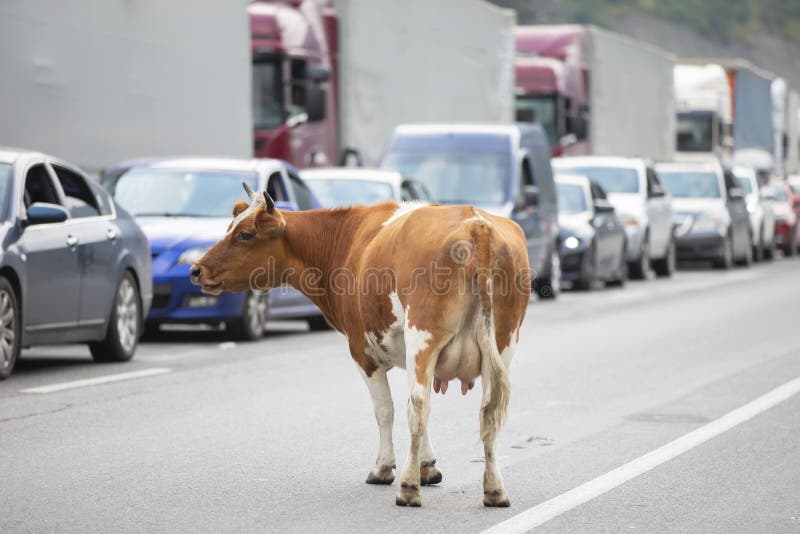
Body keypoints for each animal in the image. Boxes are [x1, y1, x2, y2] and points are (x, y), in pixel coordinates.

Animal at [190, 183, 530, 507]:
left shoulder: (362, 351)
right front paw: (428, 466)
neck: (347, 240)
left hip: (423, 336)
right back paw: (494, 490)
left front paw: (385, 468)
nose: (196, 269)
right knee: (487, 411)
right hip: (502, 344)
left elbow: (385, 410)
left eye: (245, 234)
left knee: (418, 405)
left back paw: (408, 489)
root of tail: (475, 224)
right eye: (230, 227)